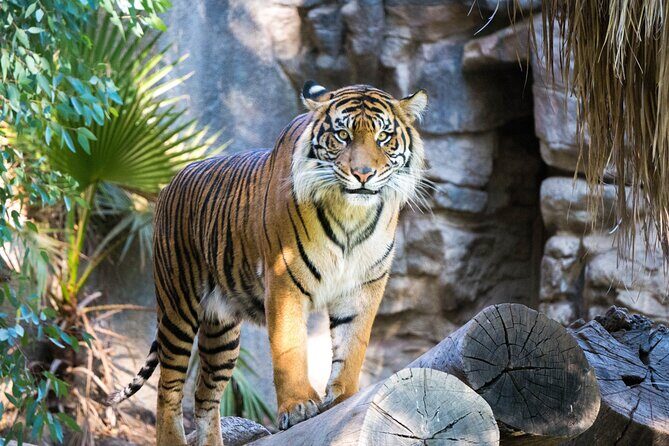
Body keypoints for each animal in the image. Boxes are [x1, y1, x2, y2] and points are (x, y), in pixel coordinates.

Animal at [107, 81, 428, 446]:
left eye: (384, 136)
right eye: (342, 135)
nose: (363, 174)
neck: (351, 214)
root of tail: (169, 183)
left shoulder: (364, 286)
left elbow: (353, 345)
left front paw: (344, 399)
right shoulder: (285, 278)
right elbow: (290, 348)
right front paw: (299, 406)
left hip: (222, 332)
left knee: (205, 396)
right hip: (178, 307)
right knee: (168, 388)